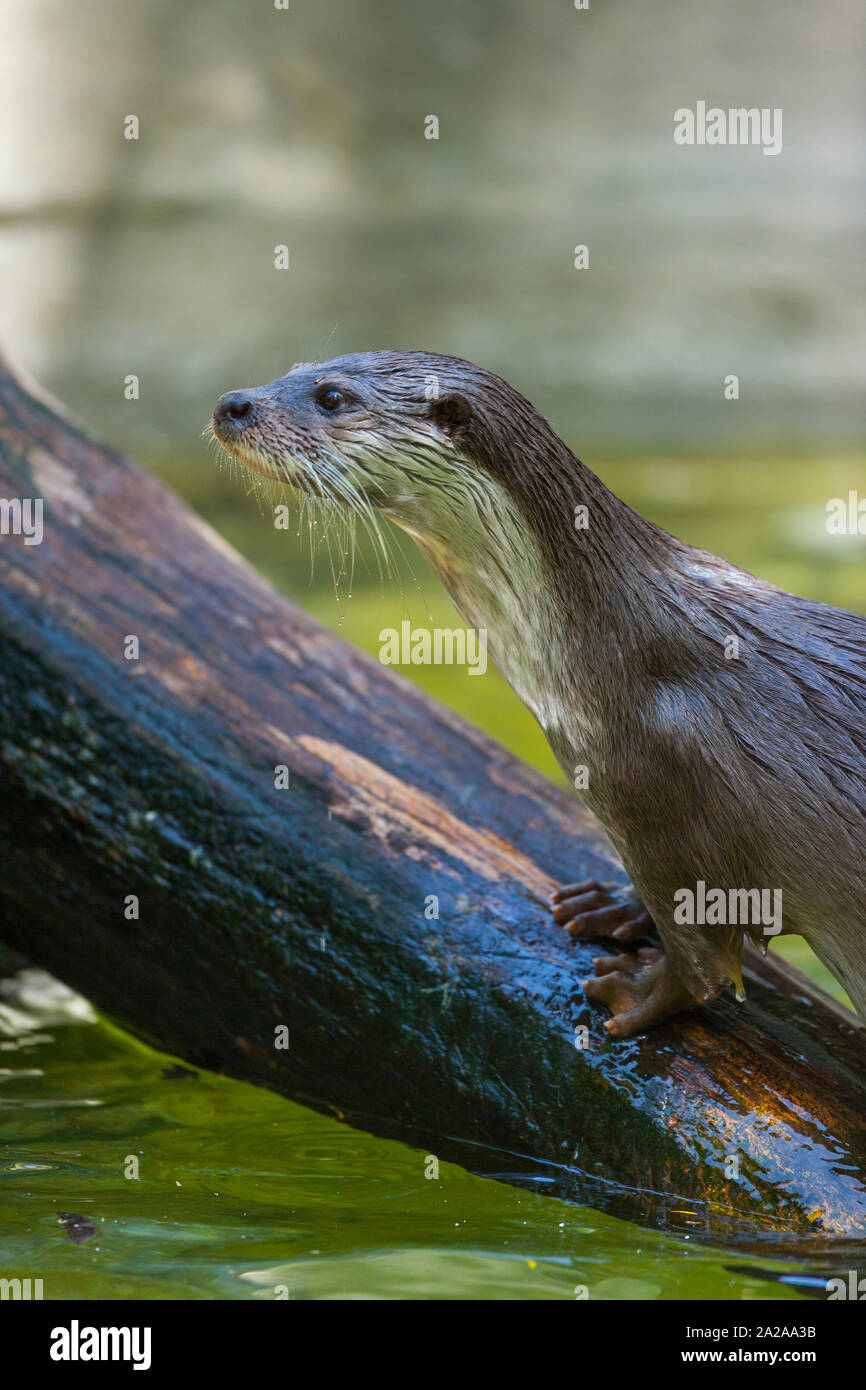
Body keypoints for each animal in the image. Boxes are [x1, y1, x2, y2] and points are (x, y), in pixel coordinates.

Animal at [211, 351, 866, 1038]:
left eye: (333, 398)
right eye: (296, 366)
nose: (232, 403)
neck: (620, 643)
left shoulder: (661, 798)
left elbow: (702, 963)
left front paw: (632, 994)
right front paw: (613, 903)